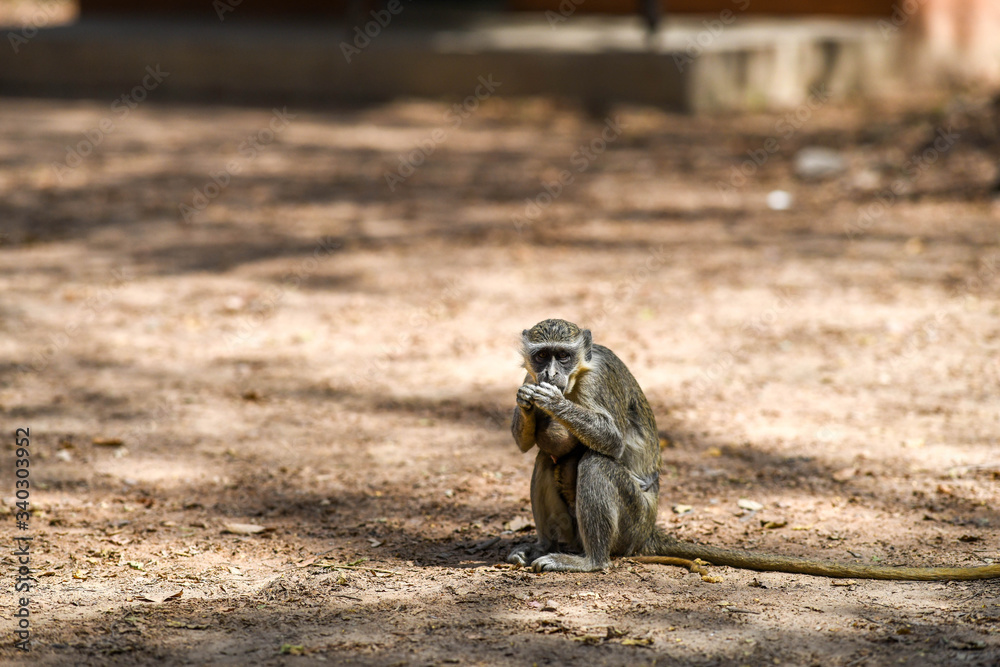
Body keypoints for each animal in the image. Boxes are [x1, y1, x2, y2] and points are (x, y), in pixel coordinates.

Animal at [507, 319, 1000, 581]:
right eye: (542, 354)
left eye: (564, 356)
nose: (550, 373)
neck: (577, 376)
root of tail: (649, 534)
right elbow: (527, 443)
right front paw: (526, 401)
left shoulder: (598, 378)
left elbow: (609, 440)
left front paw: (550, 401)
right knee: (546, 460)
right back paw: (543, 547)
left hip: (632, 521)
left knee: (592, 462)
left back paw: (589, 562)